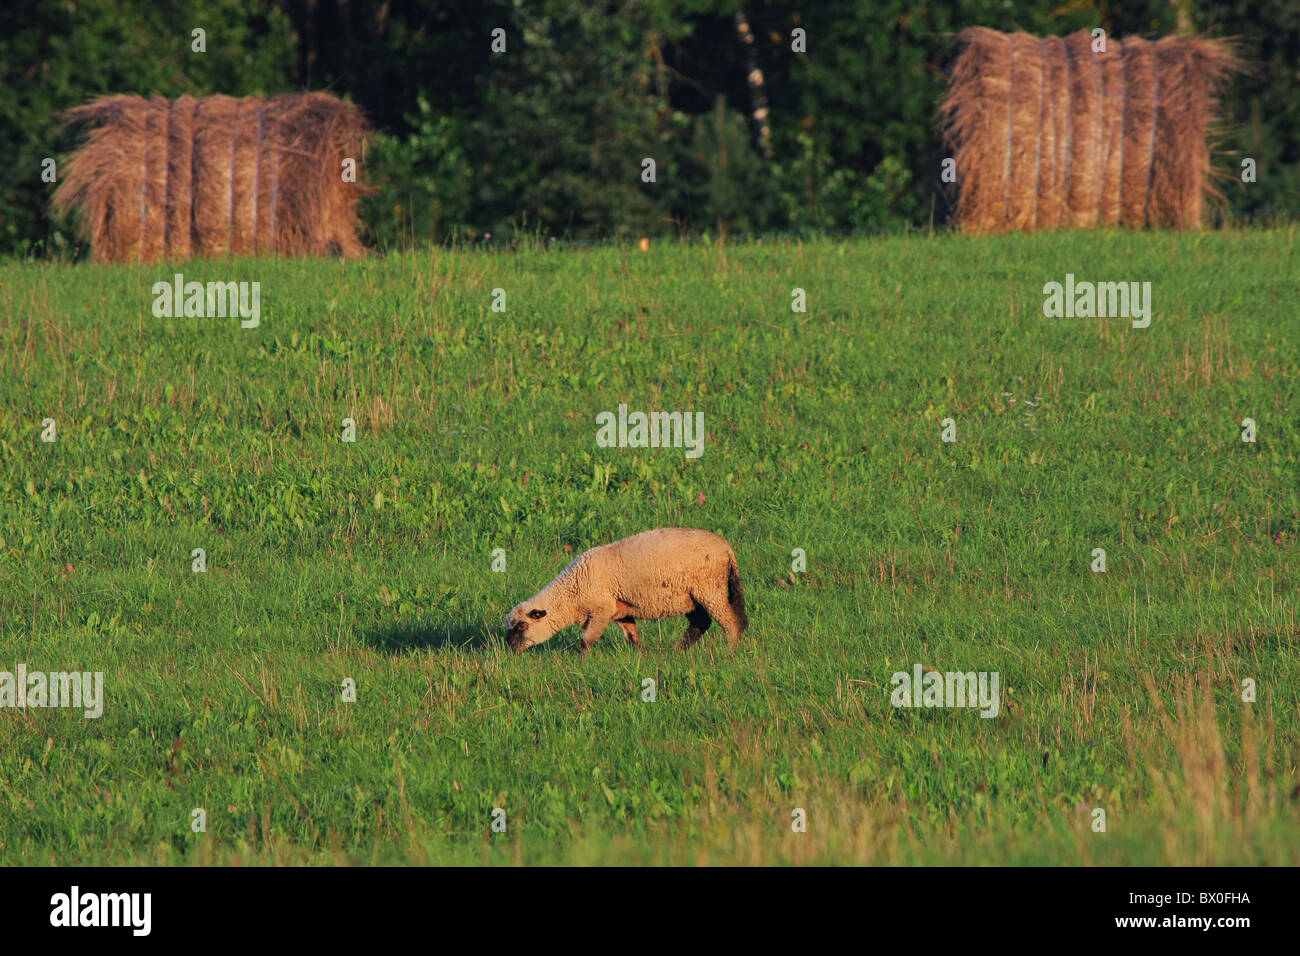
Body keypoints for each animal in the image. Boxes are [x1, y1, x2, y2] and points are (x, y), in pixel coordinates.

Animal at [505, 528, 748, 653]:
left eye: (522, 626)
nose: (509, 648)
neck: (570, 594)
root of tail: (726, 548)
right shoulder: (619, 609)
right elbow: (632, 636)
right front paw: (642, 655)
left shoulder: (602, 610)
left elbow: (586, 640)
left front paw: (581, 661)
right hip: (689, 597)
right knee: (701, 622)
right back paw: (676, 651)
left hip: (709, 589)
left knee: (729, 622)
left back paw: (730, 652)